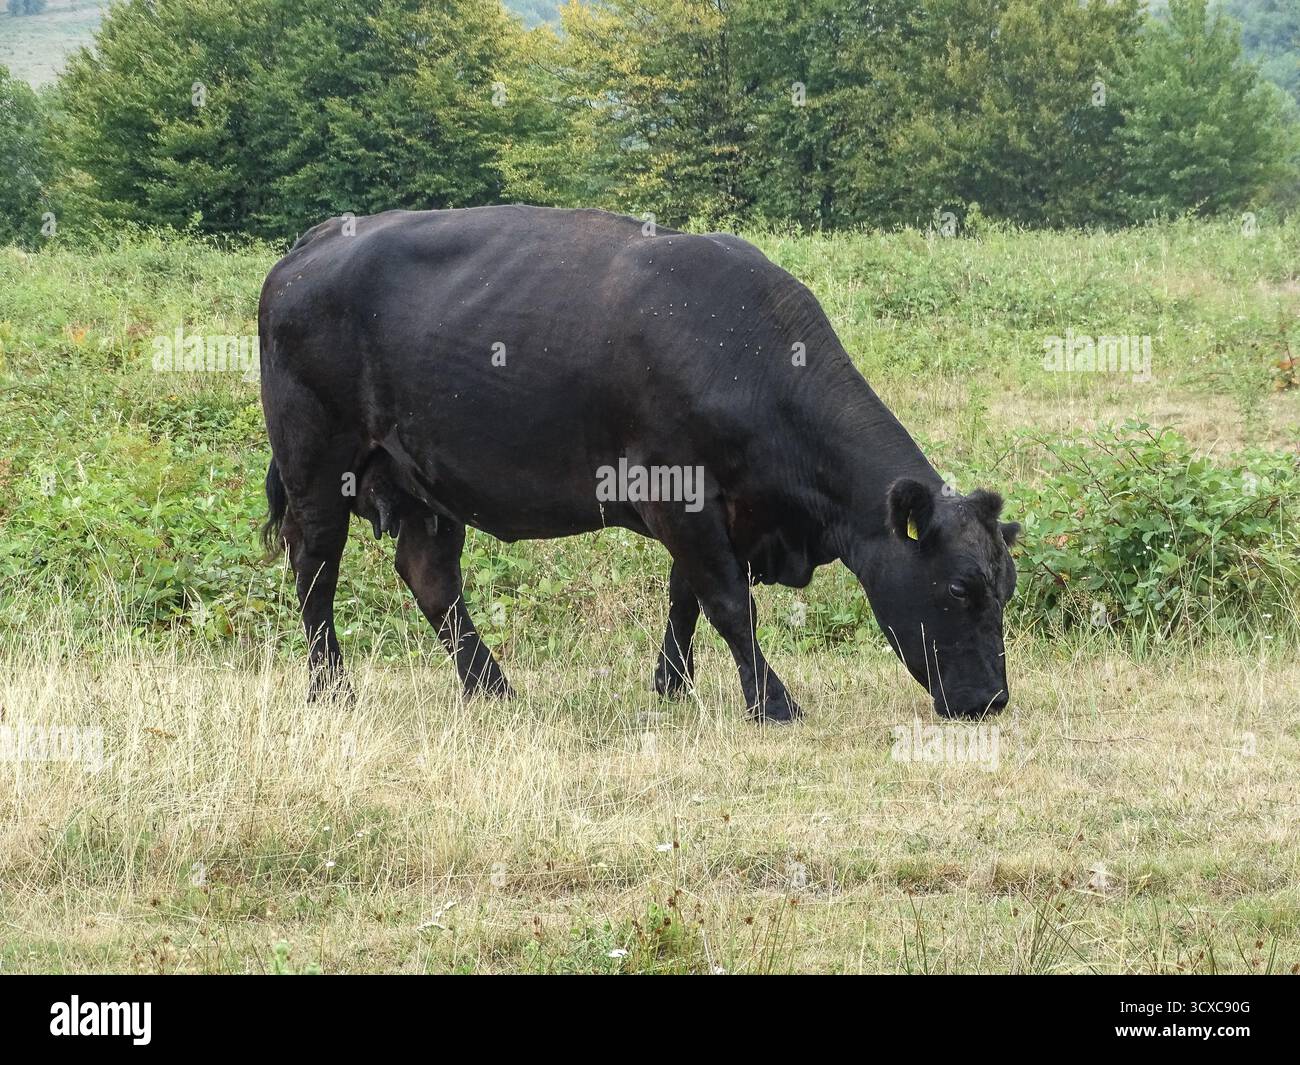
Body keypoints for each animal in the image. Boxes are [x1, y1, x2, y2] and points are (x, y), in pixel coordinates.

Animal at [259, 206, 1020, 721]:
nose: (991, 700)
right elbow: (728, 602)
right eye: (960, 590)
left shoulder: (716, 511)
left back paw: (493, 687)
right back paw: (331, 688)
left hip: (425, 482)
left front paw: (672, 685)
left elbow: (686, 596)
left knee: (432, 581)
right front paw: (772, 701)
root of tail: (313, 242)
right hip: (317, 464)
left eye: (1005, 589)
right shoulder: (675, 493)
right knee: (315, 568)